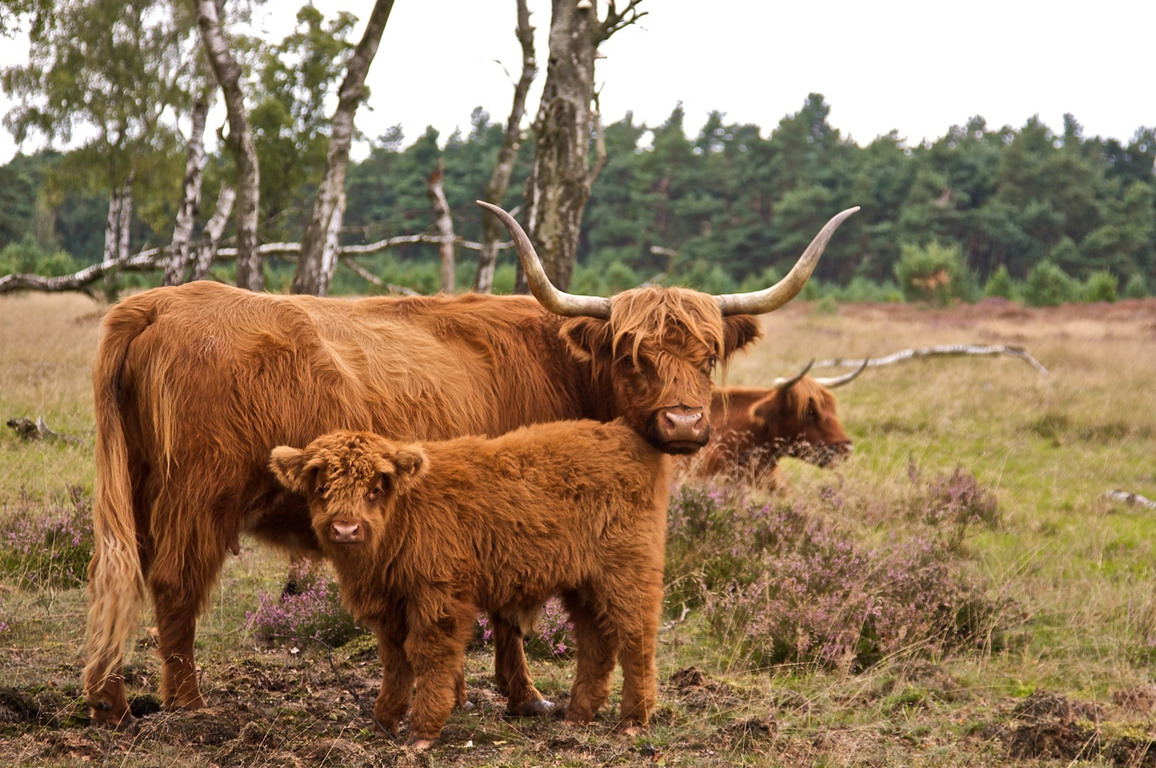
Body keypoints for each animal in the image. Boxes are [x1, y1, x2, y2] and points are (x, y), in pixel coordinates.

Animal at [269, 421, 670, 749]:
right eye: (321, 487)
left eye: (375, 489)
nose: (346, 529)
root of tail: (620, 433)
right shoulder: (389, 607)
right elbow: (395, 660)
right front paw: (384, 721)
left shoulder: (439, 597)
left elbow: (428, 655)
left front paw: (423, 731)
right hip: (584, 584)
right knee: (595, 641)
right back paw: (578, 715)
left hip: (628, 573)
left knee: (637, 638)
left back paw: (633, 719)